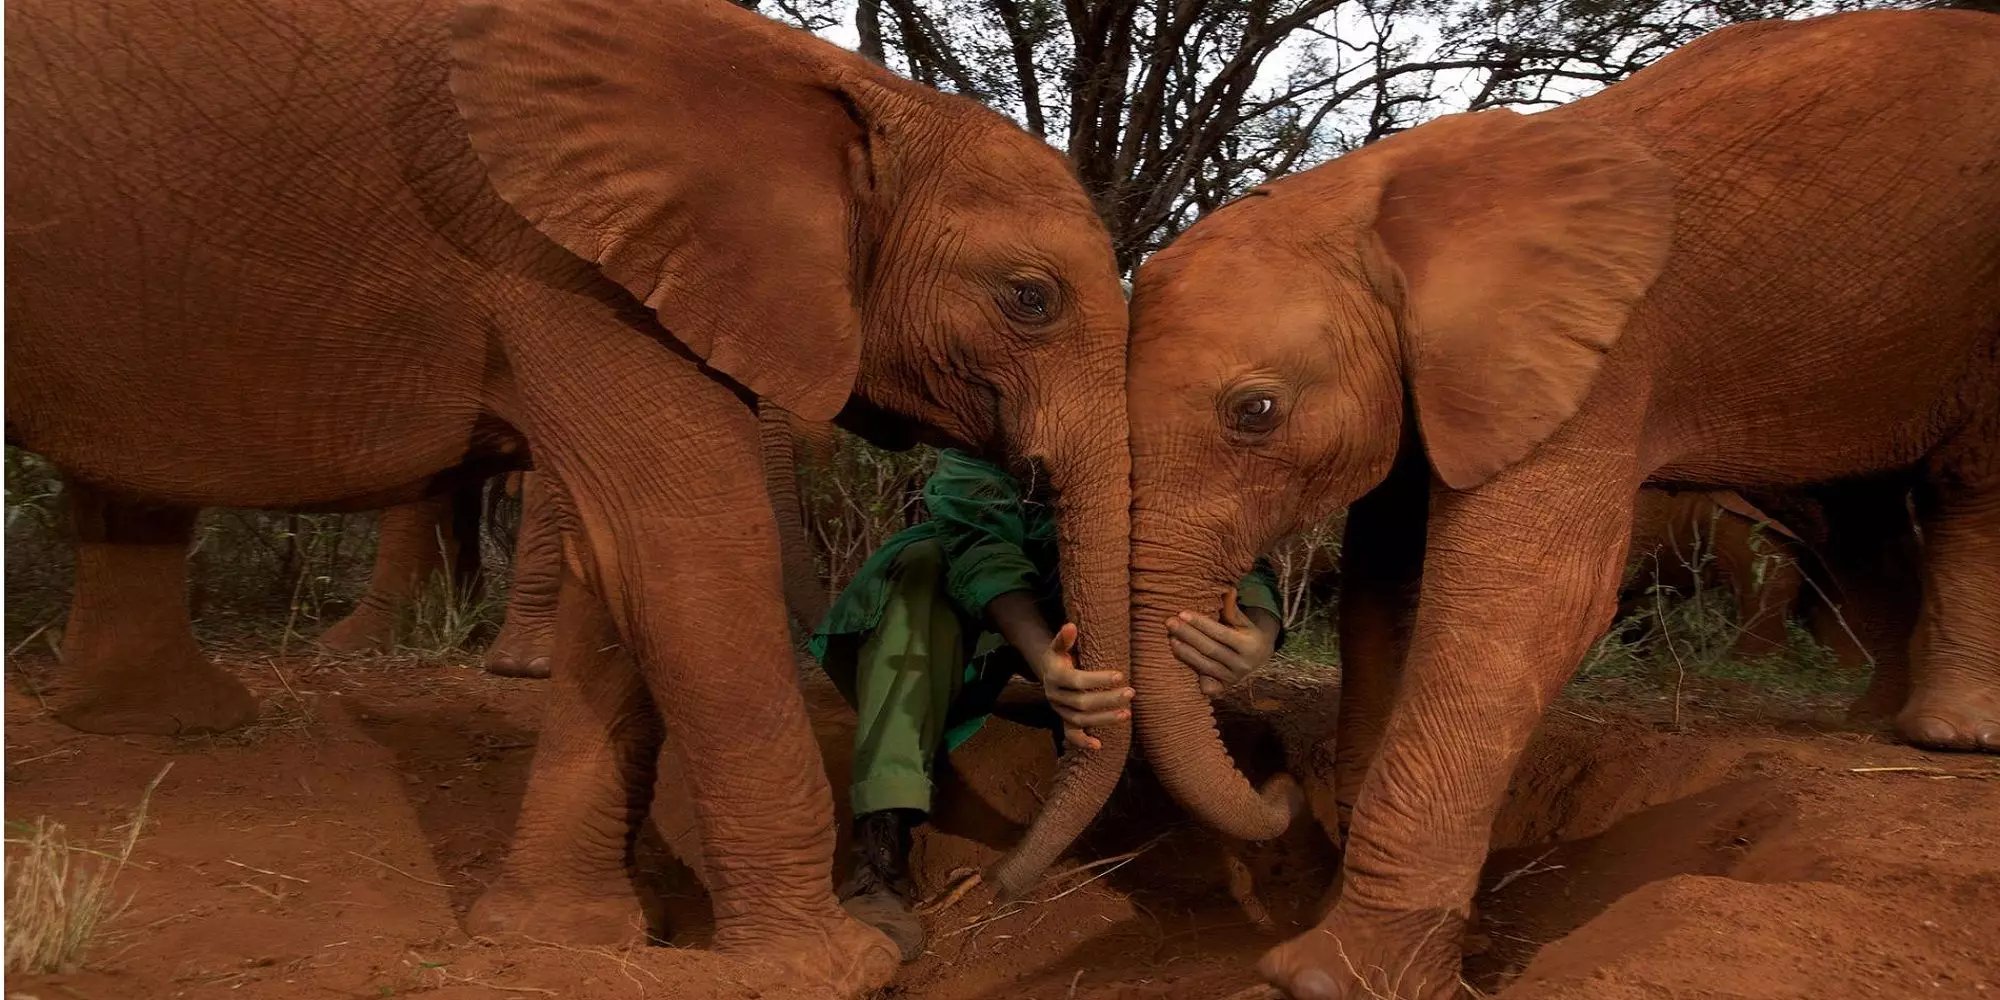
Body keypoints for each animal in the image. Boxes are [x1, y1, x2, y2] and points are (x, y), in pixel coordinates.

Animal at [1120, 9, 1992, 1000]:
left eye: (1256, 412)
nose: (1279, 793)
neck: (1381, 198)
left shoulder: (1604, 356)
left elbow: (1522, 600)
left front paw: (1329, 979)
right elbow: (1390, 585)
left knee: (1966, 486)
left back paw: (1948, 735)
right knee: (1857, 514)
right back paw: (1871, 722)